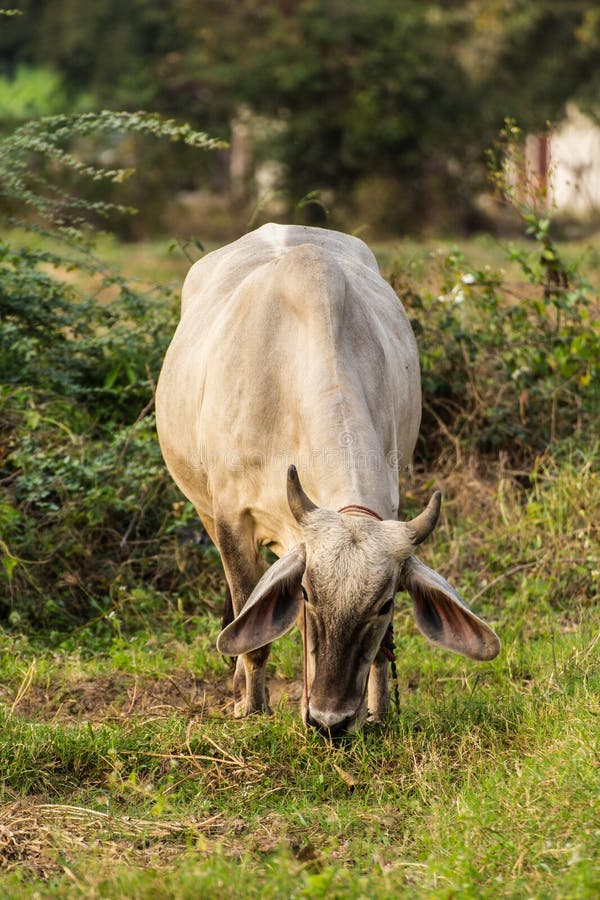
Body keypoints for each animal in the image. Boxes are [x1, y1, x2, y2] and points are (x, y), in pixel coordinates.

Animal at [155, 224, 500, 737]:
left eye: (384, 605)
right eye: (307, 594)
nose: (330, 719)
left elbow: (381, 651)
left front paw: (377, 714)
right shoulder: (232, 519)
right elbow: (253, 629)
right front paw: (252, 707)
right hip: (204, 508)